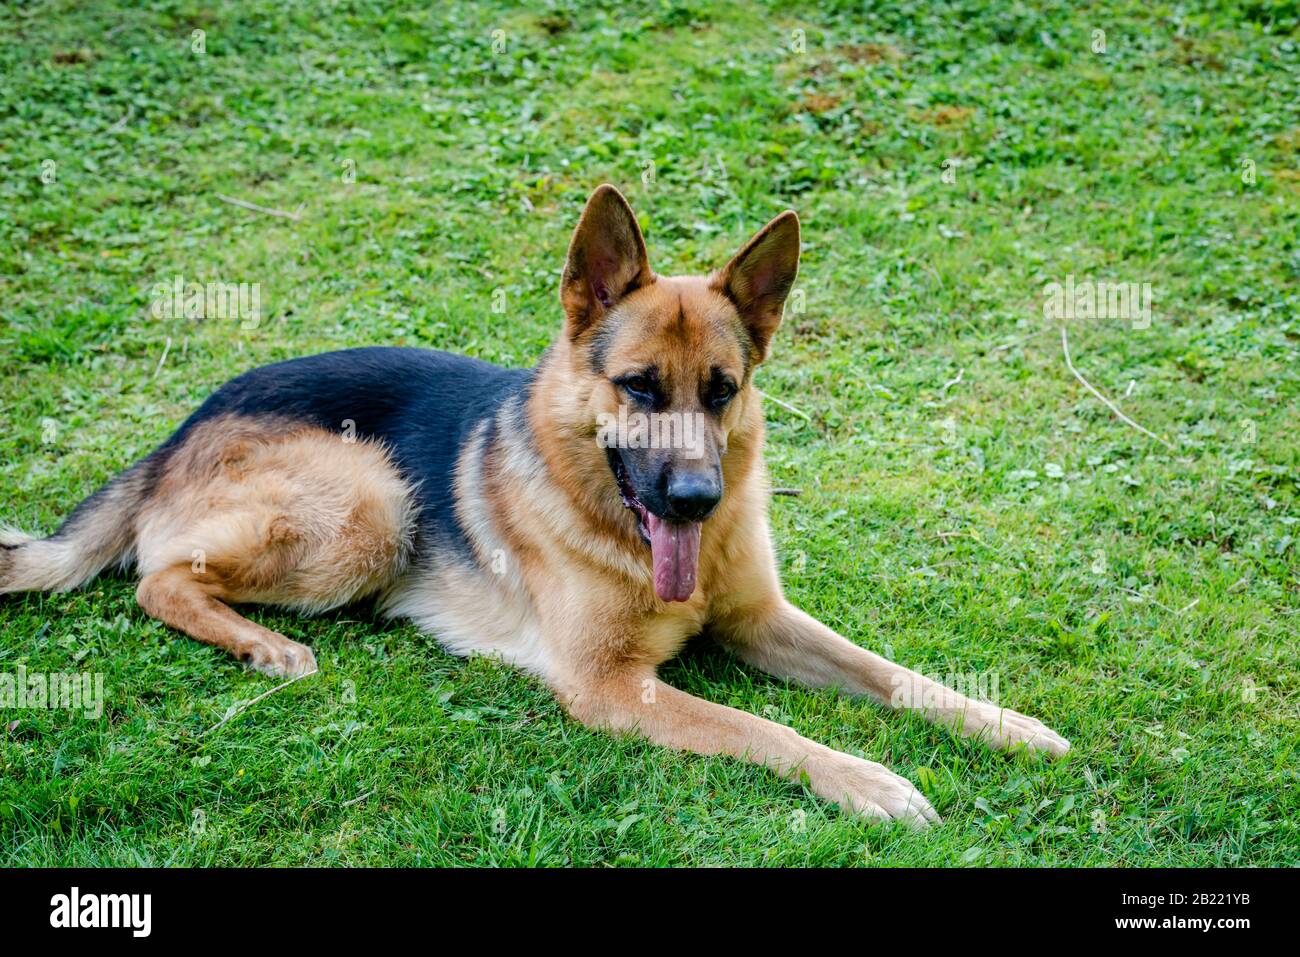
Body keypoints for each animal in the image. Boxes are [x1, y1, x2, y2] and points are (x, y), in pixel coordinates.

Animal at [0, 184, 1066, 821]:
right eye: (639, 388)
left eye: (722, 390)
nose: (696, 499)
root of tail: (181, 427)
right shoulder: (611, 688)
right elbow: (764, 729)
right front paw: (868, 780)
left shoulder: (763, 619)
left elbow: (896, 674)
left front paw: (1004, 724)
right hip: (373, 503)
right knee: (159, 577)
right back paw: (263, 643)